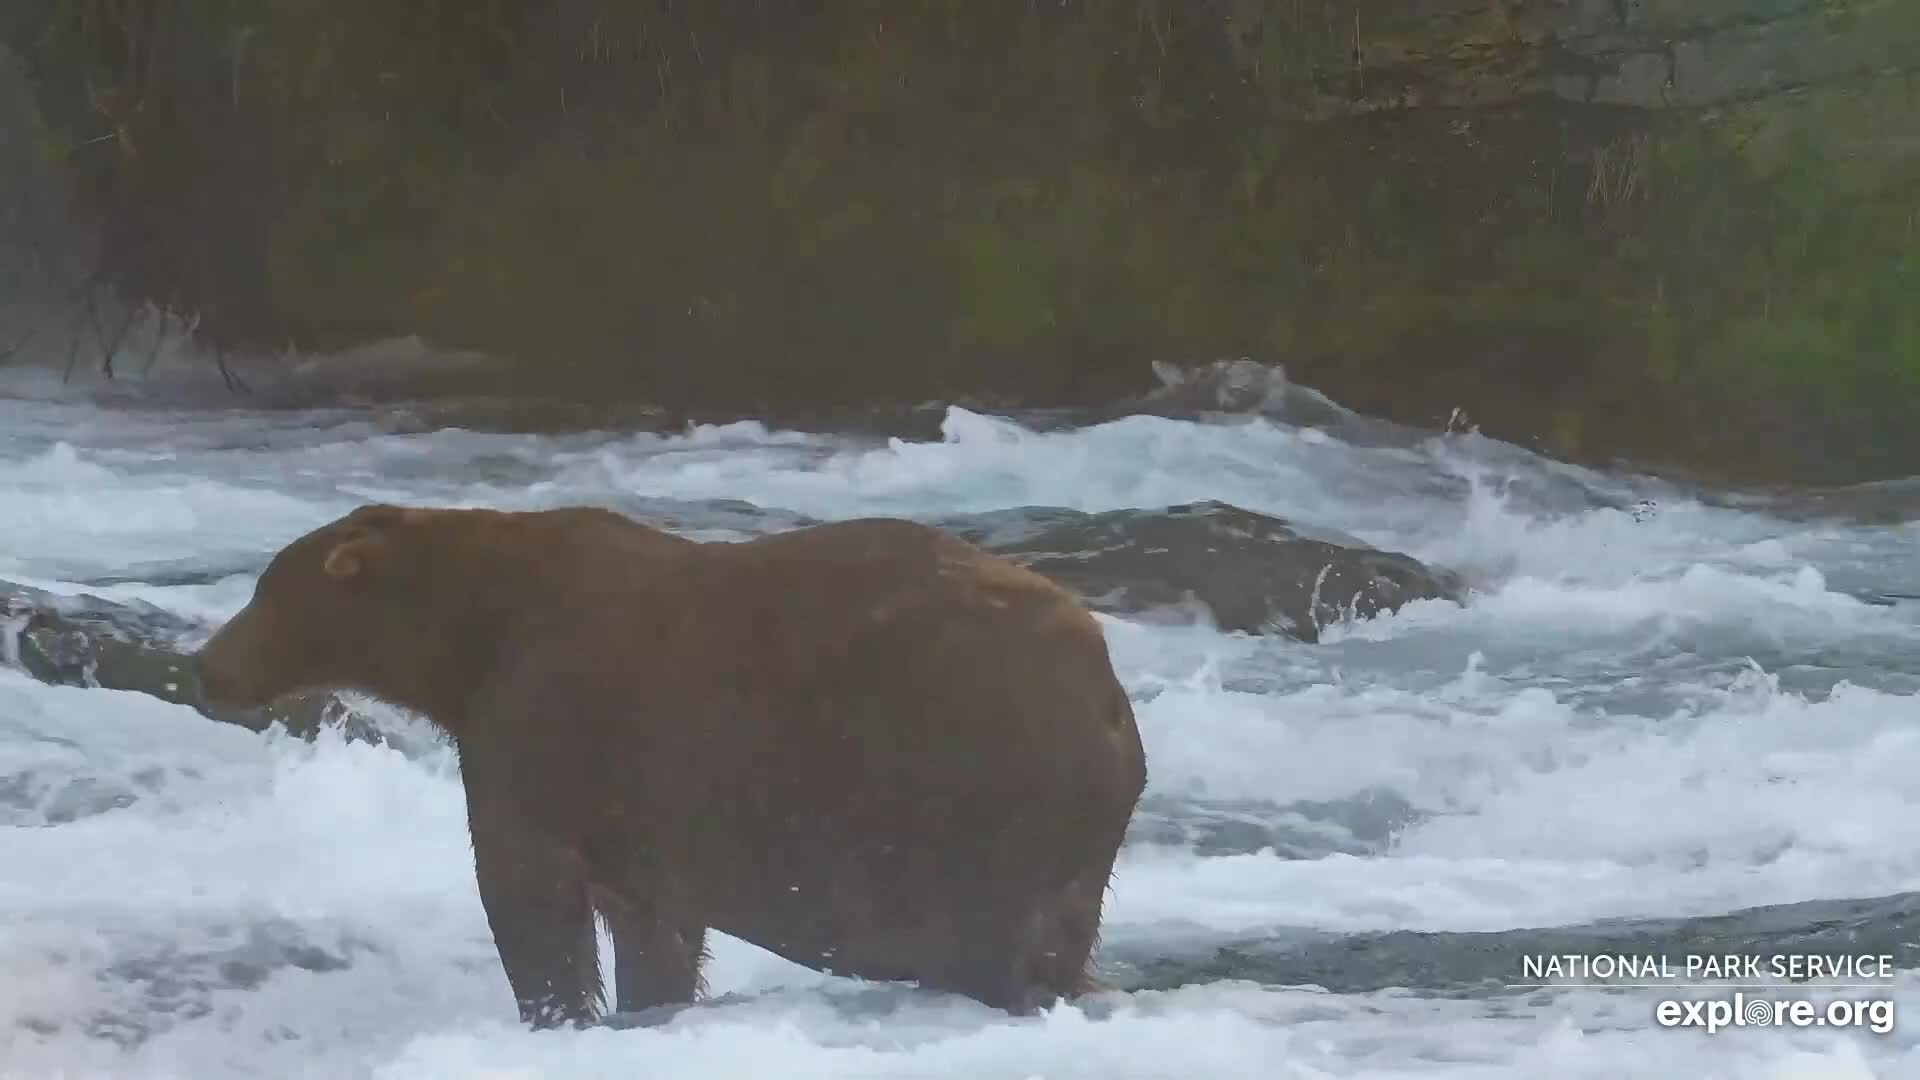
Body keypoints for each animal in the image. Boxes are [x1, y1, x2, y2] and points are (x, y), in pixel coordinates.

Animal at [194, 503, 1149, 1027]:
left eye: (264, 594)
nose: (206, 666)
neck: (466, 639)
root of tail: (1108, 694)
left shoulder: (545, 720)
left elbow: (527, 893)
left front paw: (556, 1010)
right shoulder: (639, 812)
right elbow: (650, 927)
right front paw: (642, 1000)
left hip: (975, 780)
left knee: (990, 935)